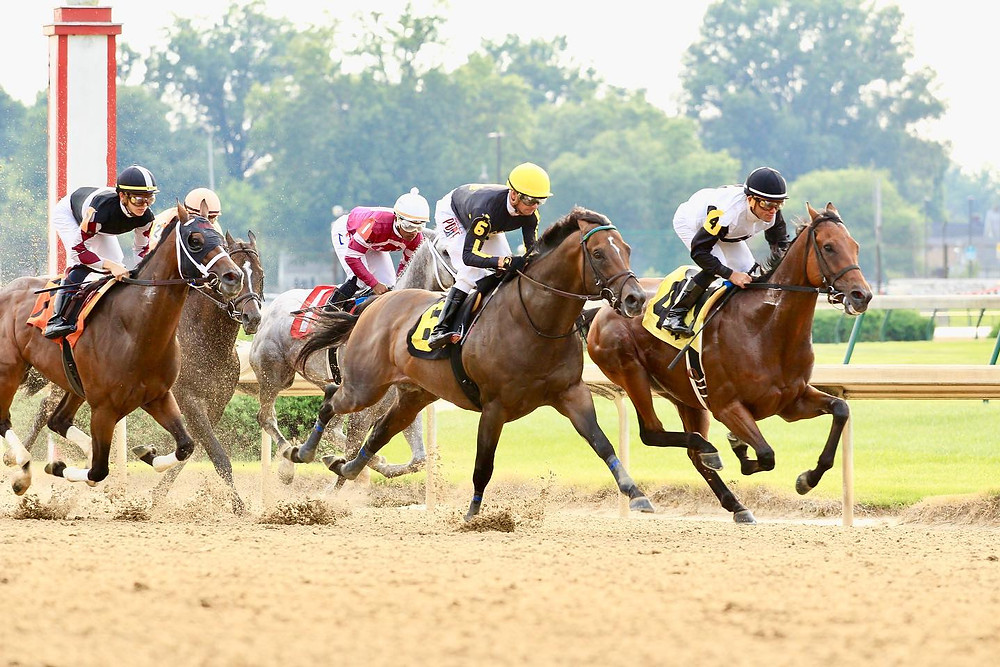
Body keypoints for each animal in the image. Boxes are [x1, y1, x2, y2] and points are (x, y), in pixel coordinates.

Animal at [0, 205, 243, 493]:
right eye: (195, 240)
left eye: (221, 240)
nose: (234, 277)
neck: (137, 330)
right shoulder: (104, 410)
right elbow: (99, 470)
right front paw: (57, 466)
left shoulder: (159, 396)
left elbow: (186, 446)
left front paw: (147, 453)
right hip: (9, 370)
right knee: (6, 420)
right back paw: (22, 467)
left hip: (73, 383)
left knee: (58, 421)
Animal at [246, 226, 456, 484]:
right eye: (446, 251)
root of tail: (269, 310)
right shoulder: (364, 408)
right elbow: (351, 455)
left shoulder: (402, 400)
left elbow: (418, 459)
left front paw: (377, 463)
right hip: (274, 375)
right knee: (266, 417)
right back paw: (288, 459)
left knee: (332, 430)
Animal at [289, 206, 673, 520]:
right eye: (598, 253)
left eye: (626, 249)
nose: (635, 298)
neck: (536, 320)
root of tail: (379, 301)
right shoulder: (494, 405)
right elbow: (484, 463)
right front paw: (473, 514)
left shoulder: (572, 393)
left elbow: (602, 443)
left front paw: (636, 494)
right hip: (365, 385)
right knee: (331, 398)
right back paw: (304, 452)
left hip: (414, 394)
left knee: (380, 430)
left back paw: (344, 466)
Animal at [585, 202, 873, 523]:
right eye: (828, 247)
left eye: (855, 246)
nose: (862, 295)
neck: (765, 327)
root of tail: (604, 309)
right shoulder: (727, 406)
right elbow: (766, 454)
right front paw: (742, 450)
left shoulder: (791, 402)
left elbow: (841, 409)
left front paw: (807, 478)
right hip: (631, 374)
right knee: (654, 433)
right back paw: (708, 457)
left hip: (686, 396)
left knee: (694, 451)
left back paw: (736, 503)